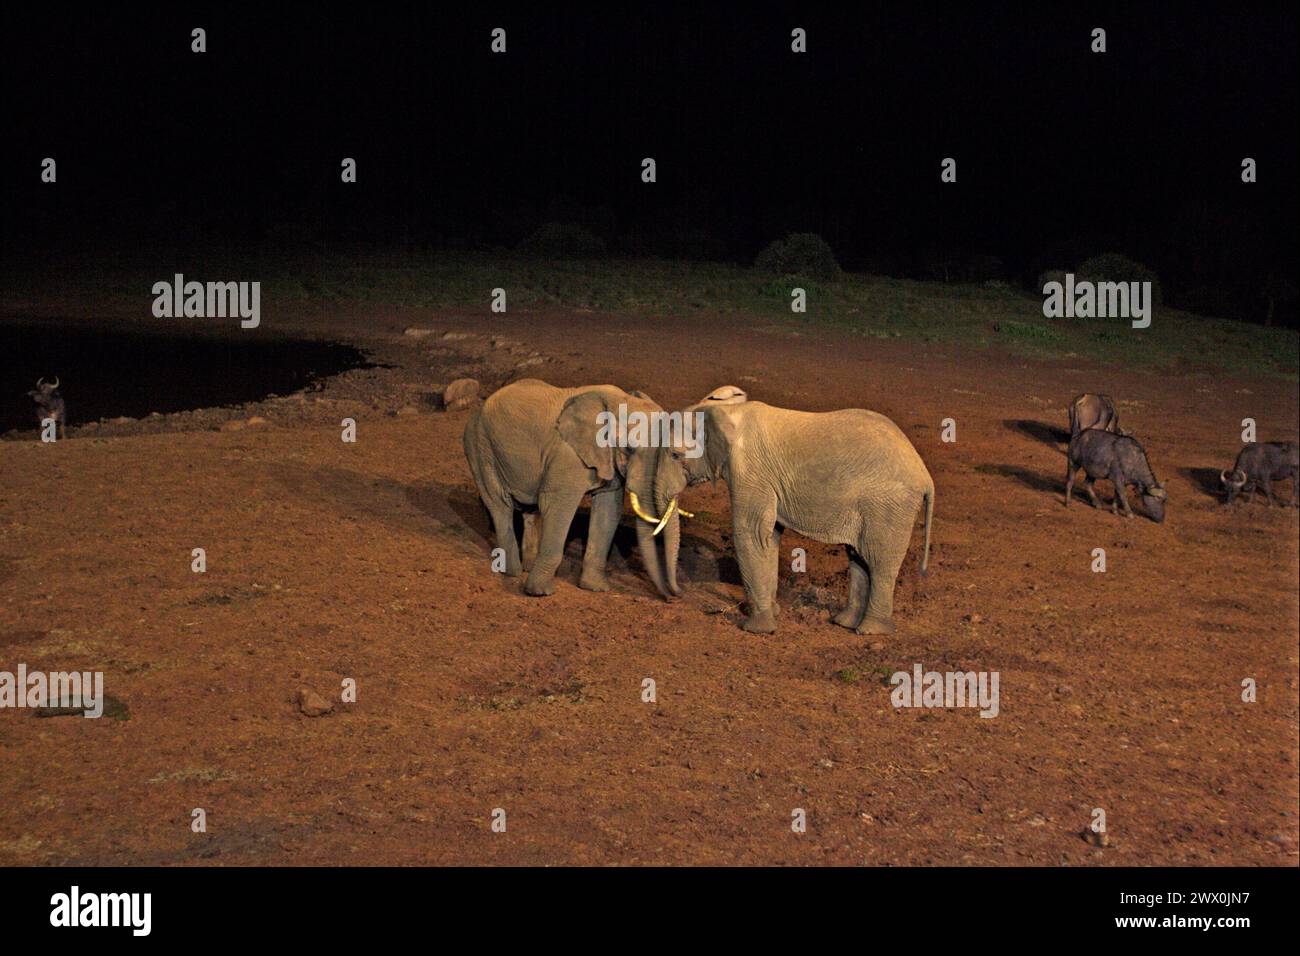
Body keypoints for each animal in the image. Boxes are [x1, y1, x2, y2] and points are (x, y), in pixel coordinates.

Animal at [463, 379, 689, 598]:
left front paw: (596, 589)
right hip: (480, 447)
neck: (620, 400)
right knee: (500, 505)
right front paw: (539, 592)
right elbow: (558, 506)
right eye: (629, 448)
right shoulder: (567, 455)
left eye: (673, 454)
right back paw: (512, 572)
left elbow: (607, 509)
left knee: (529, 510)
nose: (674, 595)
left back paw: (526, 567)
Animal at [677, 388, 934, 635]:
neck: (731, 411)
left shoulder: (749, 472)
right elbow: (769, 537)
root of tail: (925, 475)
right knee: (858, 557)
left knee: (879, 562)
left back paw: (869, 631)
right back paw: (845, 623)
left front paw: (755, 629)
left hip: (889, 505)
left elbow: (751, 534)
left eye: (676, 456)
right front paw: (774, 613)